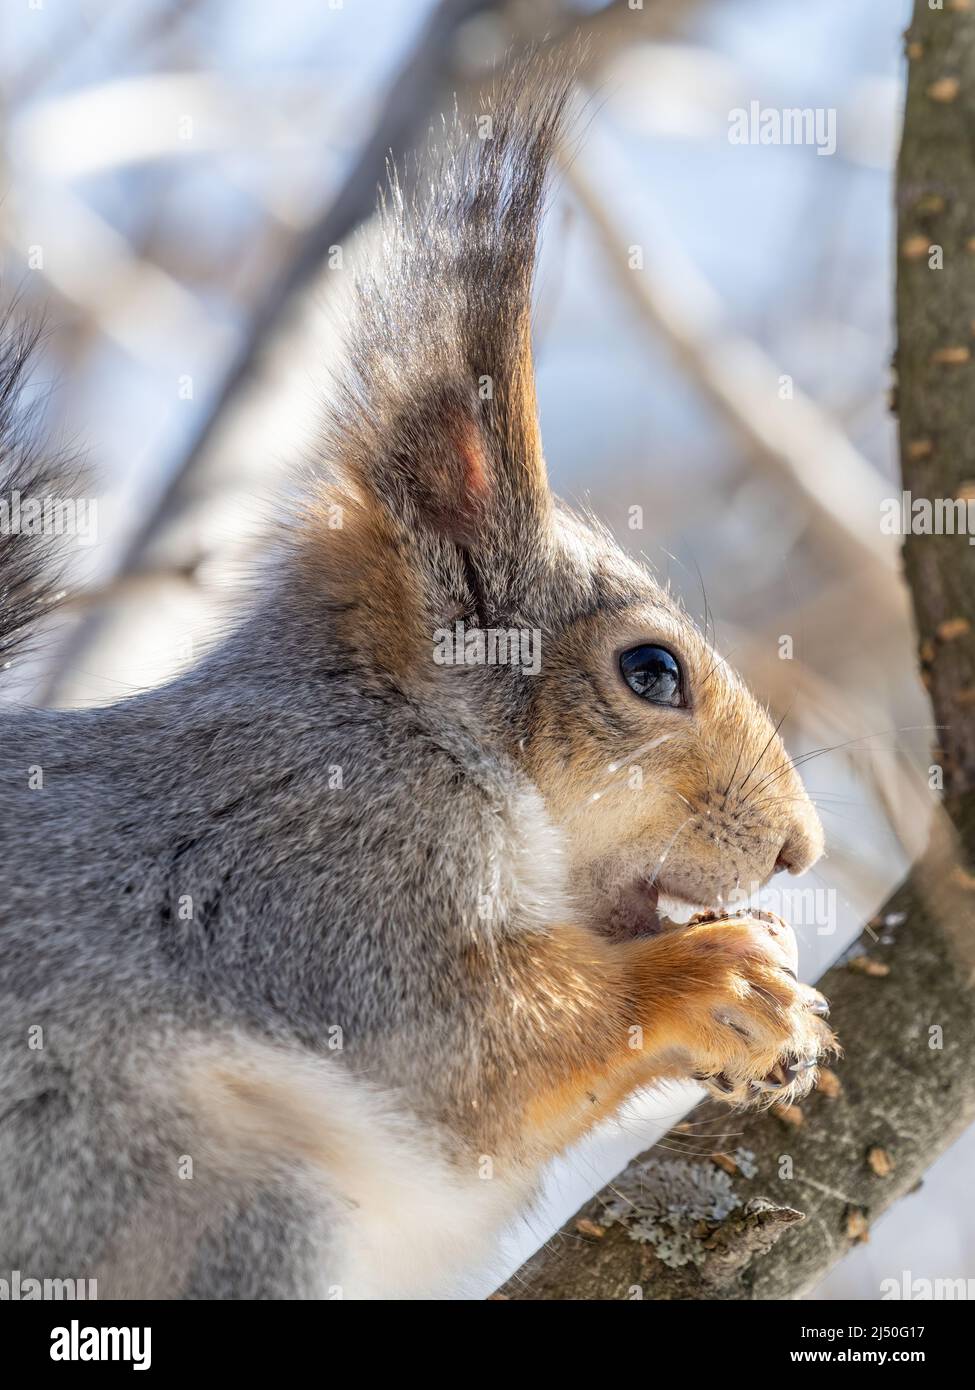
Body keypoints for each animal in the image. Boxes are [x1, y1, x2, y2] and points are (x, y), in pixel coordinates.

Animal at [0, 62, 834, 1299]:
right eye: (650, 671)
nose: (800, 847)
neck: (410, 722)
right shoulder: (314, 863)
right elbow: (461, 1056)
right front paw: (707, 983)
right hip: (196, 1197)